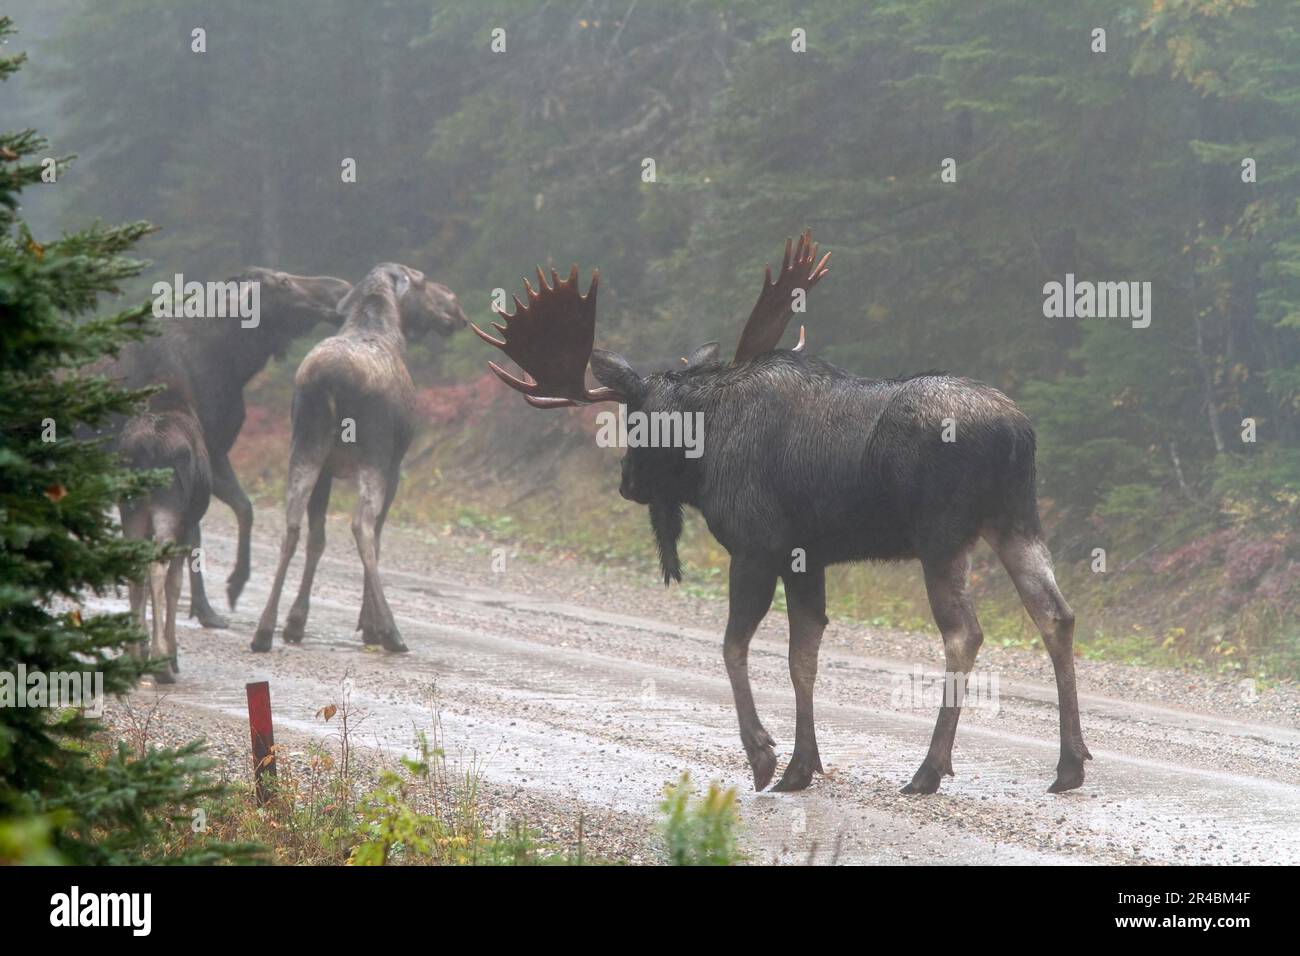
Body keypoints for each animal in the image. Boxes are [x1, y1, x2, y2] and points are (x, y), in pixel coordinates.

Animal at [92, 269, 353, 629]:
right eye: (284, 282)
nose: (342, 288)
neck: (235, 362)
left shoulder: (214, 451)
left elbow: (244, 508)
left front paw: (229, 589)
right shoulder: (206, 451)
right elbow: (198, 534)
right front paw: (208, 605)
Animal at [251, 263, 467, 653]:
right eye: (424, 280)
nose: (456, 307)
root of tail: (330, 381)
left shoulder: (326, 471)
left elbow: (317, 540)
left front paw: (295, 622)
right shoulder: (395, 466)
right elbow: (377, 539)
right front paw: (370, 626)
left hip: (305, 448)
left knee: (292, 525)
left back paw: (264, 629)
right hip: (374, 457)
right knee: (361, 526)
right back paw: (392, 632)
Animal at [473, 231, 1091, 795]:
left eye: (633, 418)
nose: (627, 483)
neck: (705, 446)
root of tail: (1017, 432)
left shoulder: (755, 546)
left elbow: (733, 646)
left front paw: (764, 757)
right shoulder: (806, 556)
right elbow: (803, 655)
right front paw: (803, 764)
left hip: (942, 536)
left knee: (965, 633)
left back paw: (929, 770)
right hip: (1016, 520)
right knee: (1056, 615)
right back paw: (1069, 765)